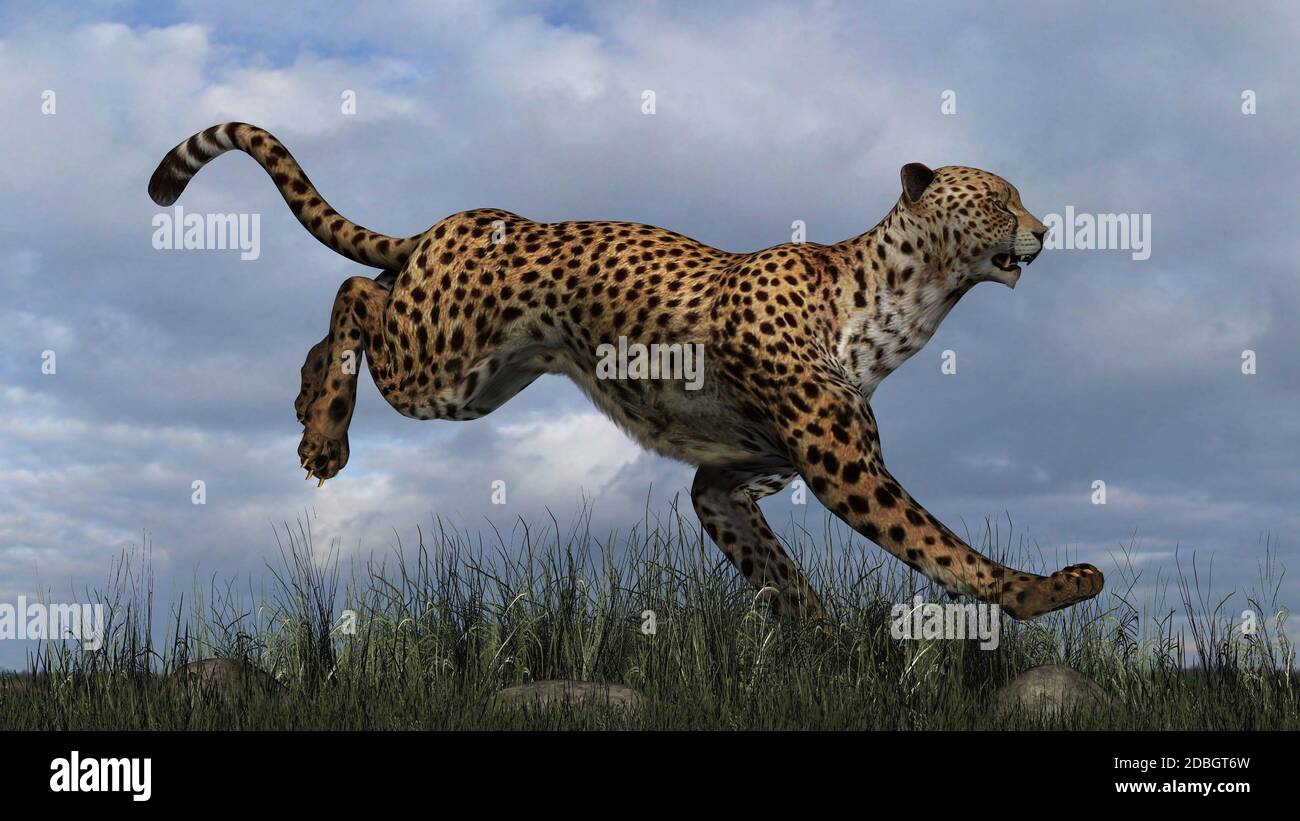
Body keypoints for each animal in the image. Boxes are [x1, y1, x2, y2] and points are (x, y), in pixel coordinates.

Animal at [149, 122, 1103, 624]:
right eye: (1000, 197)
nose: (1045, 228)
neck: (911, 295)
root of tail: (456, 217)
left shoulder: (729, 481)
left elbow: (782, 576)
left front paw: (833, 646)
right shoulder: (843, 465)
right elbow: (937, 544)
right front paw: (1041, 590)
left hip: (473, 378)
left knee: (365, 286)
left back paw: (308, 397)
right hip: (437, 364)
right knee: (354, 291)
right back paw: (324, 427)